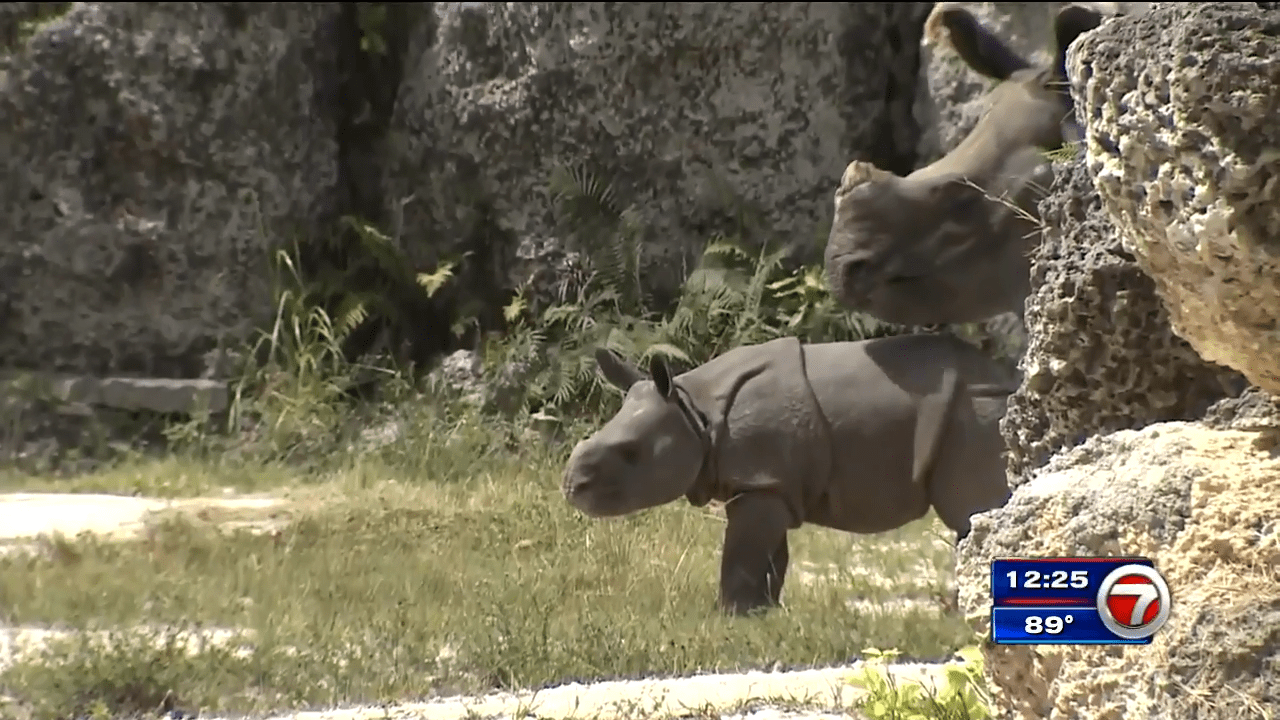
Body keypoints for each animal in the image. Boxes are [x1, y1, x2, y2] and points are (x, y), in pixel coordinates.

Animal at [561, 333, 1018, 616]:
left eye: (630, 453)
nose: (570, 486)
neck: (694, 410)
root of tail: (1008, 376)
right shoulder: (768, 483)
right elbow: (769, 556)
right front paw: (763, 613)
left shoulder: (760, 481)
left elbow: (741, 555)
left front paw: (728, 616)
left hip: (974, 411)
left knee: (972, 513)